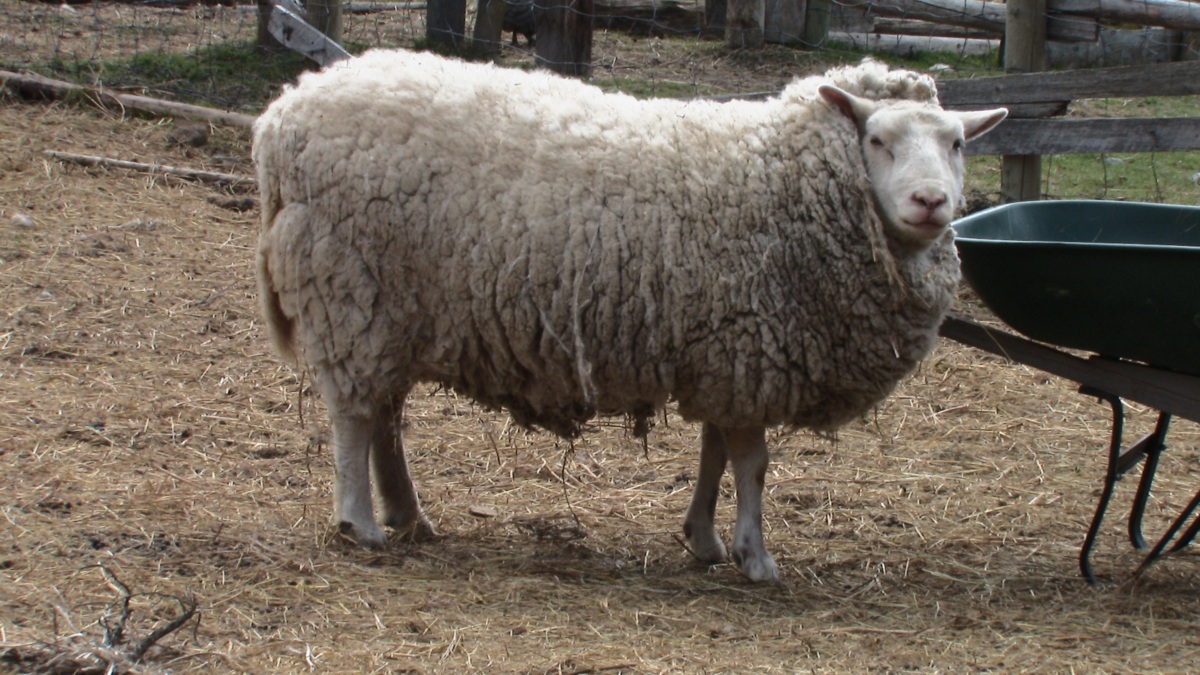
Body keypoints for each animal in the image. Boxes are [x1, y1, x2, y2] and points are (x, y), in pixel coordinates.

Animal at [253, 50, 1007, 582]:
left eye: (958, 144)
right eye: (877, 139)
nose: (932, 202)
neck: (781, 178)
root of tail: (282, 115)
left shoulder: (720, 351)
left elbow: (714, 453)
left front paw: (703, 538)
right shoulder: (749, 350)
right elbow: (753, 463)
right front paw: (755, 555)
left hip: (396, 311)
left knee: (383, 416)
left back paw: (409, 514)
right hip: (350, 293)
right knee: (354, 415)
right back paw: (360, 524)